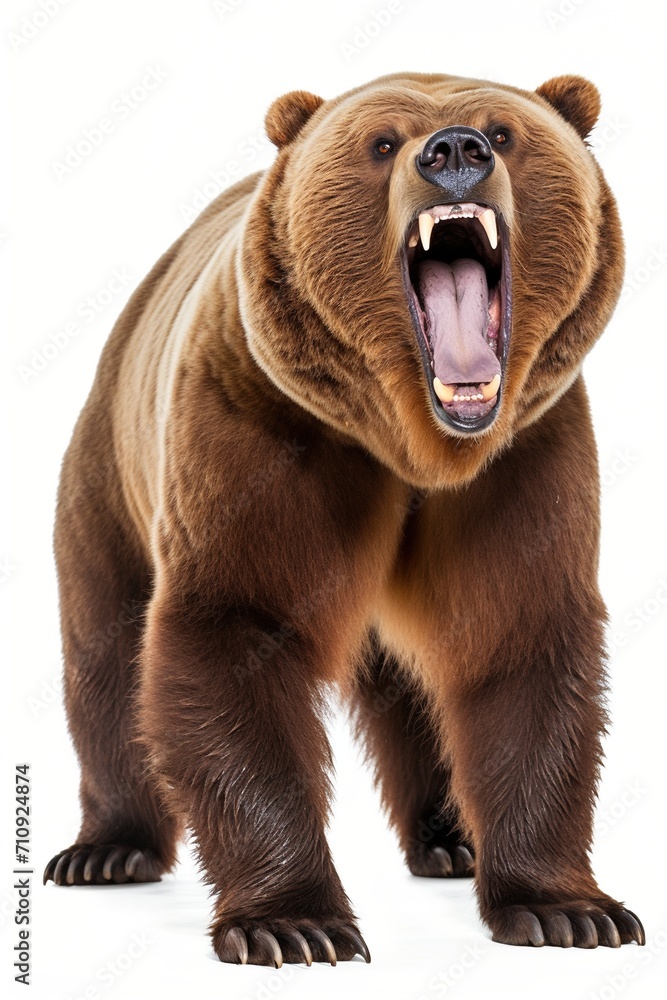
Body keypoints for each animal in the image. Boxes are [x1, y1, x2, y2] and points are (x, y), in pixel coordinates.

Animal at [43, 71, 644, 965]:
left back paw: (451, 838)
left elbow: (518, 639)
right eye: (382, 143)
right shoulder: (261, 431)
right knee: (107, 649)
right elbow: (234, 631)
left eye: (505, 133)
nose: (454, 150)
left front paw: (569, 910)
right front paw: (295, 922)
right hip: (110, 473)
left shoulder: (522, 460)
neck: (415, 446)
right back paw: (107, 849)